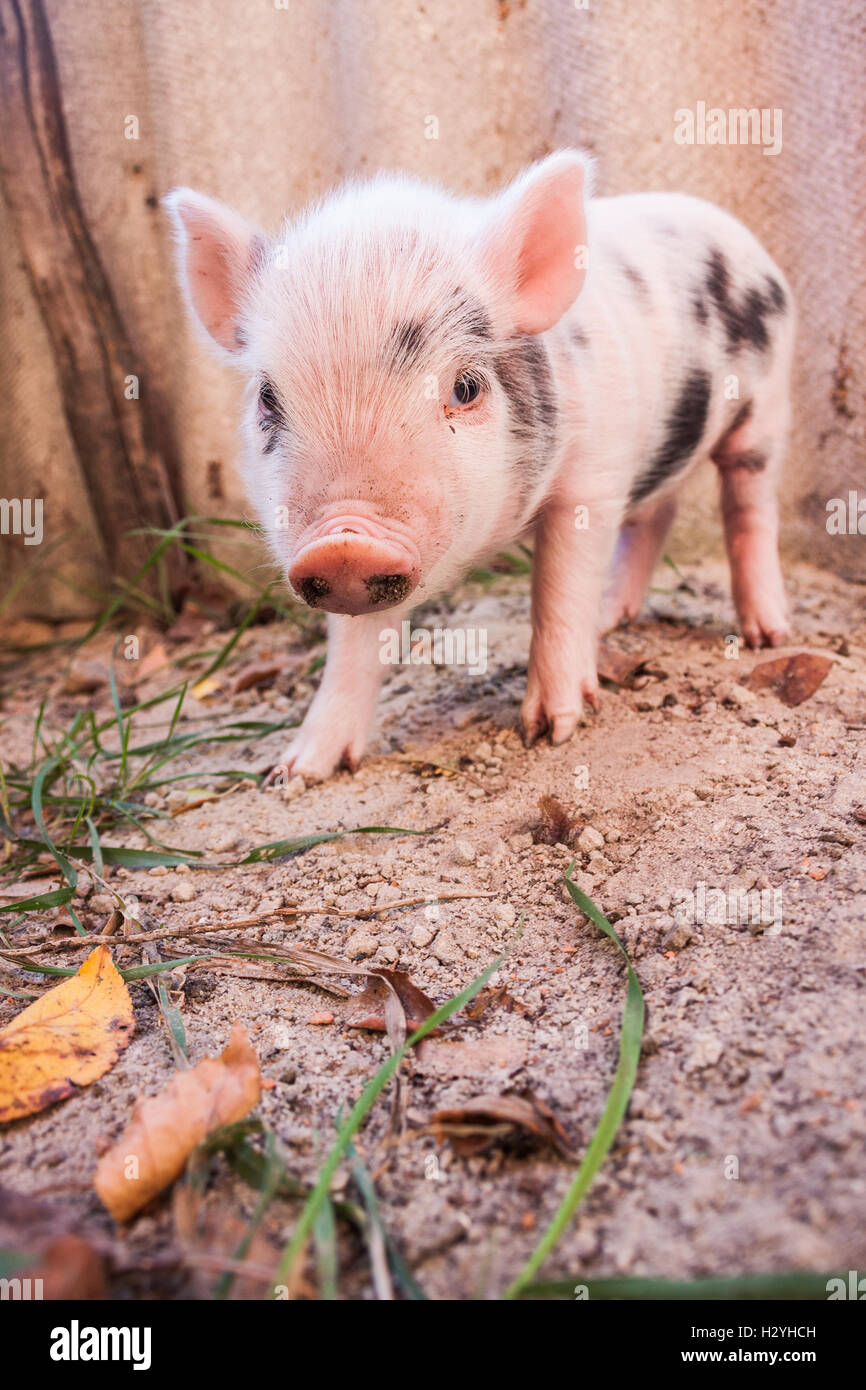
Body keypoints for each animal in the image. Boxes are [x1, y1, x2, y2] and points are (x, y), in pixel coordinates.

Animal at [165, 151, 794, 781]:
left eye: (465, 388)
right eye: (268, 398)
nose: (345, 544)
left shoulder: (592, 481)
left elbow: (559, 591)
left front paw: (551, 731)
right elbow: (353, 645)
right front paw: (295, 773)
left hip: (763, 410)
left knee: (748, 506)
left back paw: (766, 635)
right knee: (657, 514)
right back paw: (613, 619)